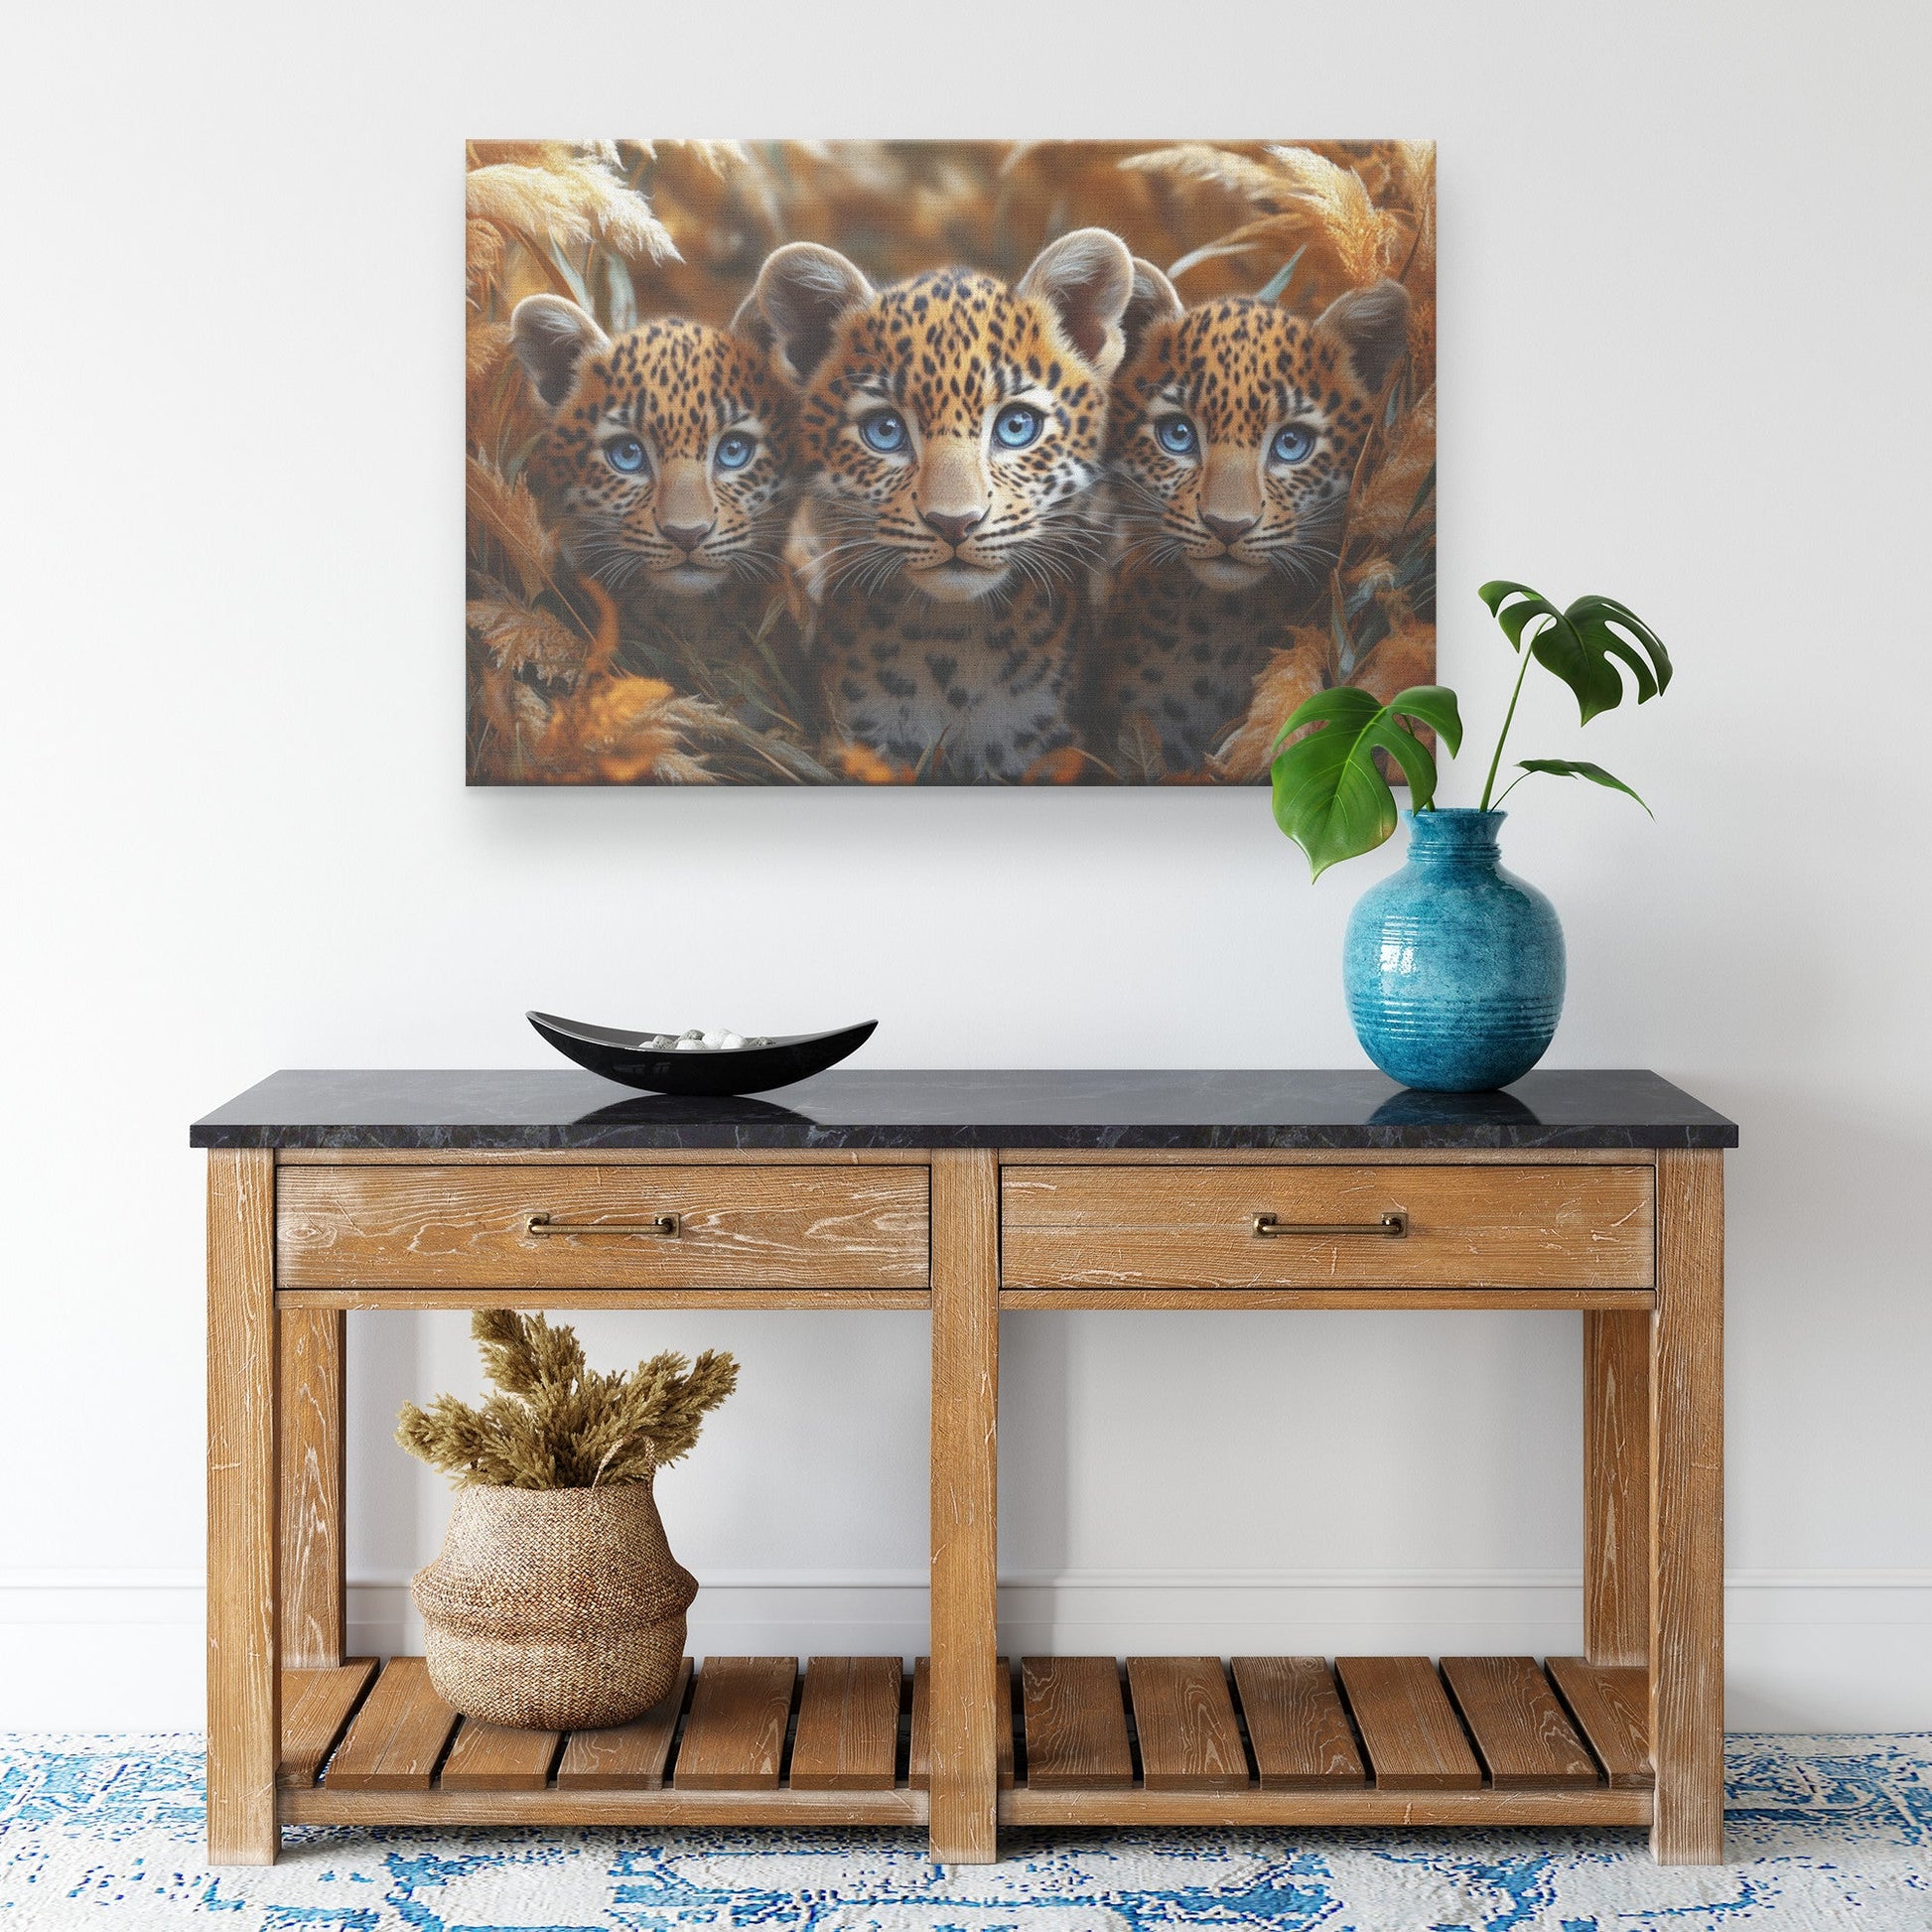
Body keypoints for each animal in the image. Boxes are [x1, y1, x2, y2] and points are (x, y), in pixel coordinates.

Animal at [746, 229, 1135, 780]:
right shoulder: (865, 745)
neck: (953, 642)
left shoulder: (1047, 751)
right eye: (885, 430)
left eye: (1017, 426)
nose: (955, 524)